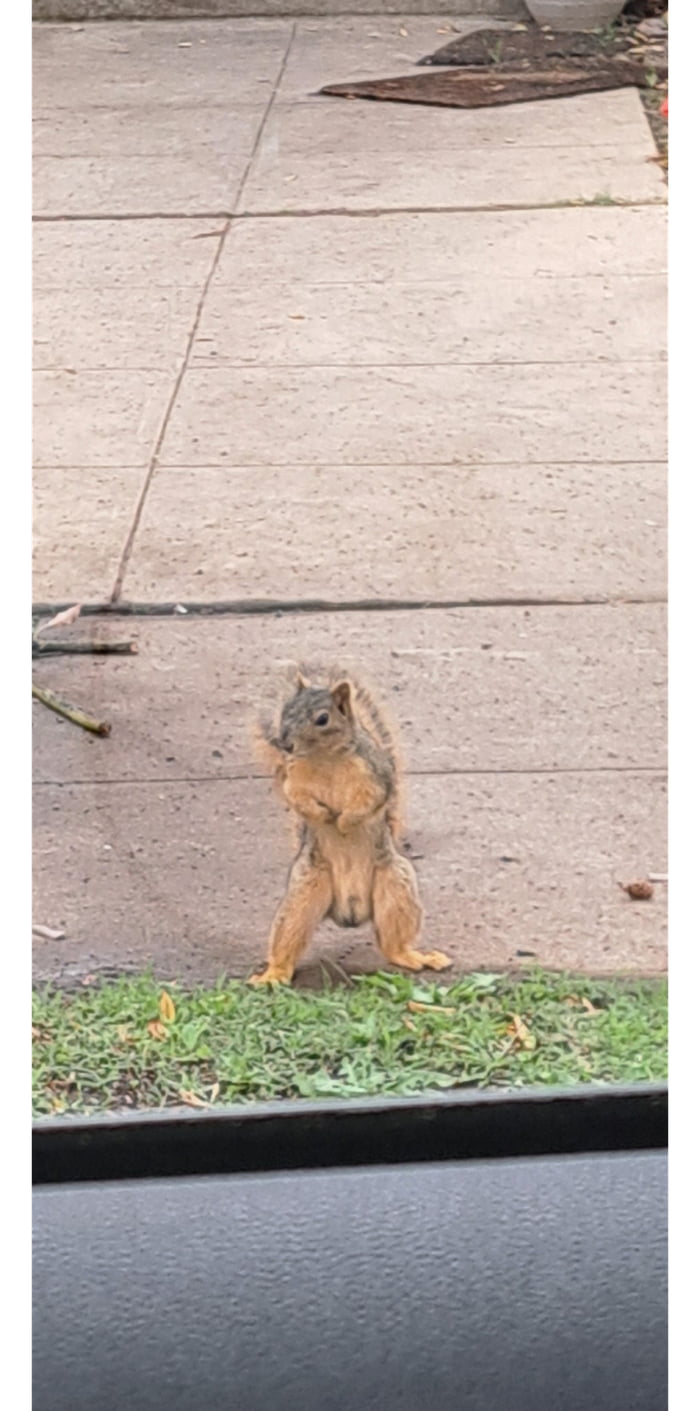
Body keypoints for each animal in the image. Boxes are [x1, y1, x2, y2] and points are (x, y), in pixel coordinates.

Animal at [249, 664, 452, 986]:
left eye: (323, 718)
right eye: (286, 709)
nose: (285, 743)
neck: (325, 757)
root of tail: (349, 911)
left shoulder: (374, 775)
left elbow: (370, 801)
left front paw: (343, 822)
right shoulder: (295, 778)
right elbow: (297, 799)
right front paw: (322, 817)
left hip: (396, 886)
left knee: (393, 943)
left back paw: (415, 957)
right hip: (304, 893)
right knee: (288, 934)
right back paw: (275, 973)